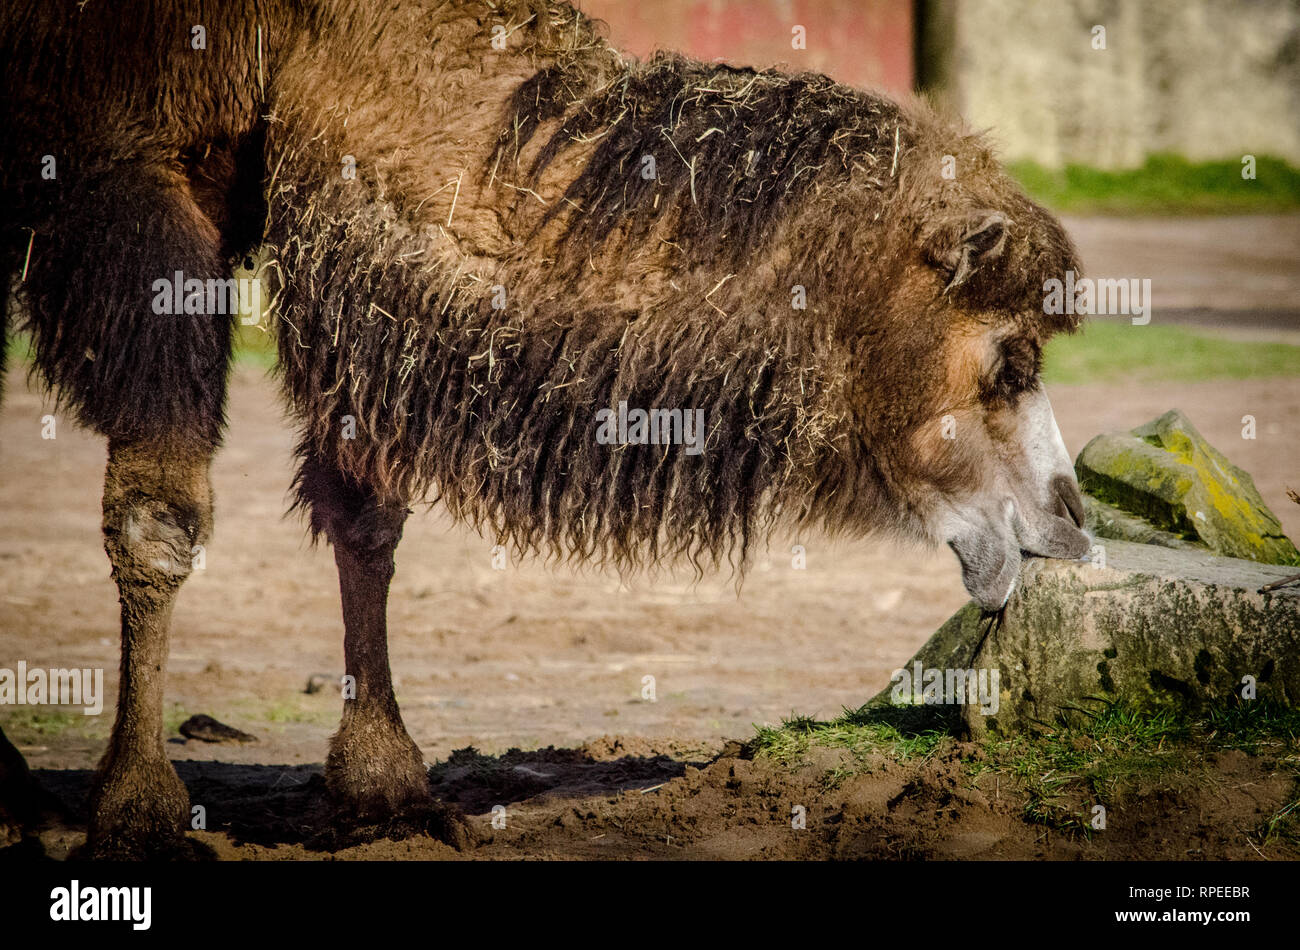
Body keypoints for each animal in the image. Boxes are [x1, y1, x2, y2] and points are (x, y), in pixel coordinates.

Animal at [0, 0, 1090, 857]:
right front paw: (139, 810)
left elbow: (365, 517)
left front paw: (384, 784)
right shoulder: (132, 168)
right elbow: (161, 513)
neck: (308, 34)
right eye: (1011, 360)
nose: (1072, 521)